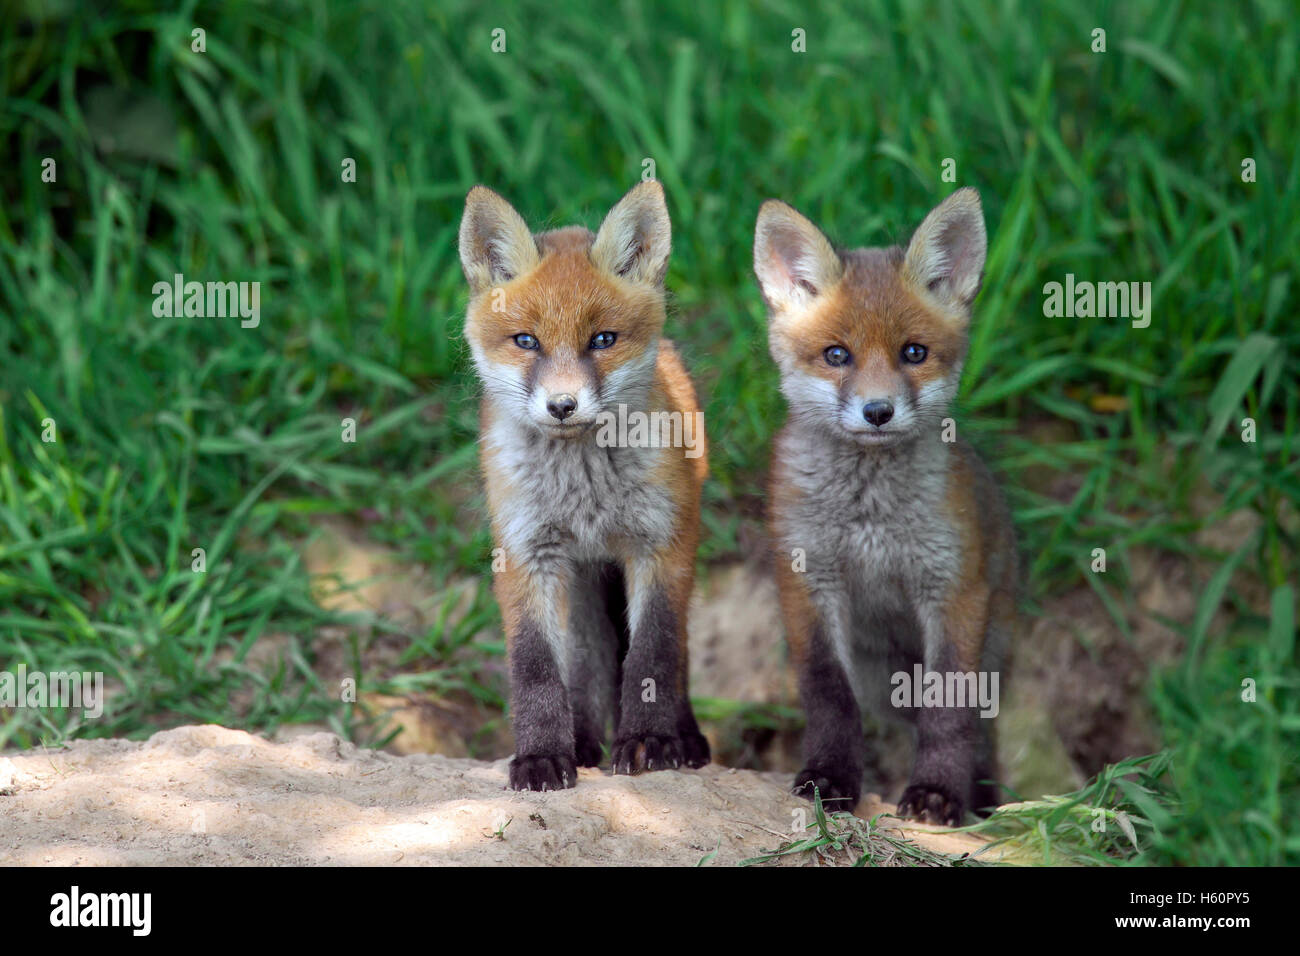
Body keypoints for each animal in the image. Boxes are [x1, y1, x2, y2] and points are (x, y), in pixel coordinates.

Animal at [458, 180, 711, 791]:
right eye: (526, 341)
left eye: (602, 340)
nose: (562, 405)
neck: (585, 492)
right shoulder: (527, 553)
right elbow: (536, 669)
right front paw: (543, 756)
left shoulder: (660, 545)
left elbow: (653, 656)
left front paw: (649, 742)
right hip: (582, 582)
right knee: (586, 664)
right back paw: (584, 742)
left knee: (673, 654)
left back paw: (685, 736)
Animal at [754, 188, 1017, 825]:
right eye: (837, 355)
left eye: (913, 352)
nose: (878, 412)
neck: (870, 515)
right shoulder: (808, 583)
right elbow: (830, 696)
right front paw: (829, 777)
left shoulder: (953, 591)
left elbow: (949, 712)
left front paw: (938, 794)